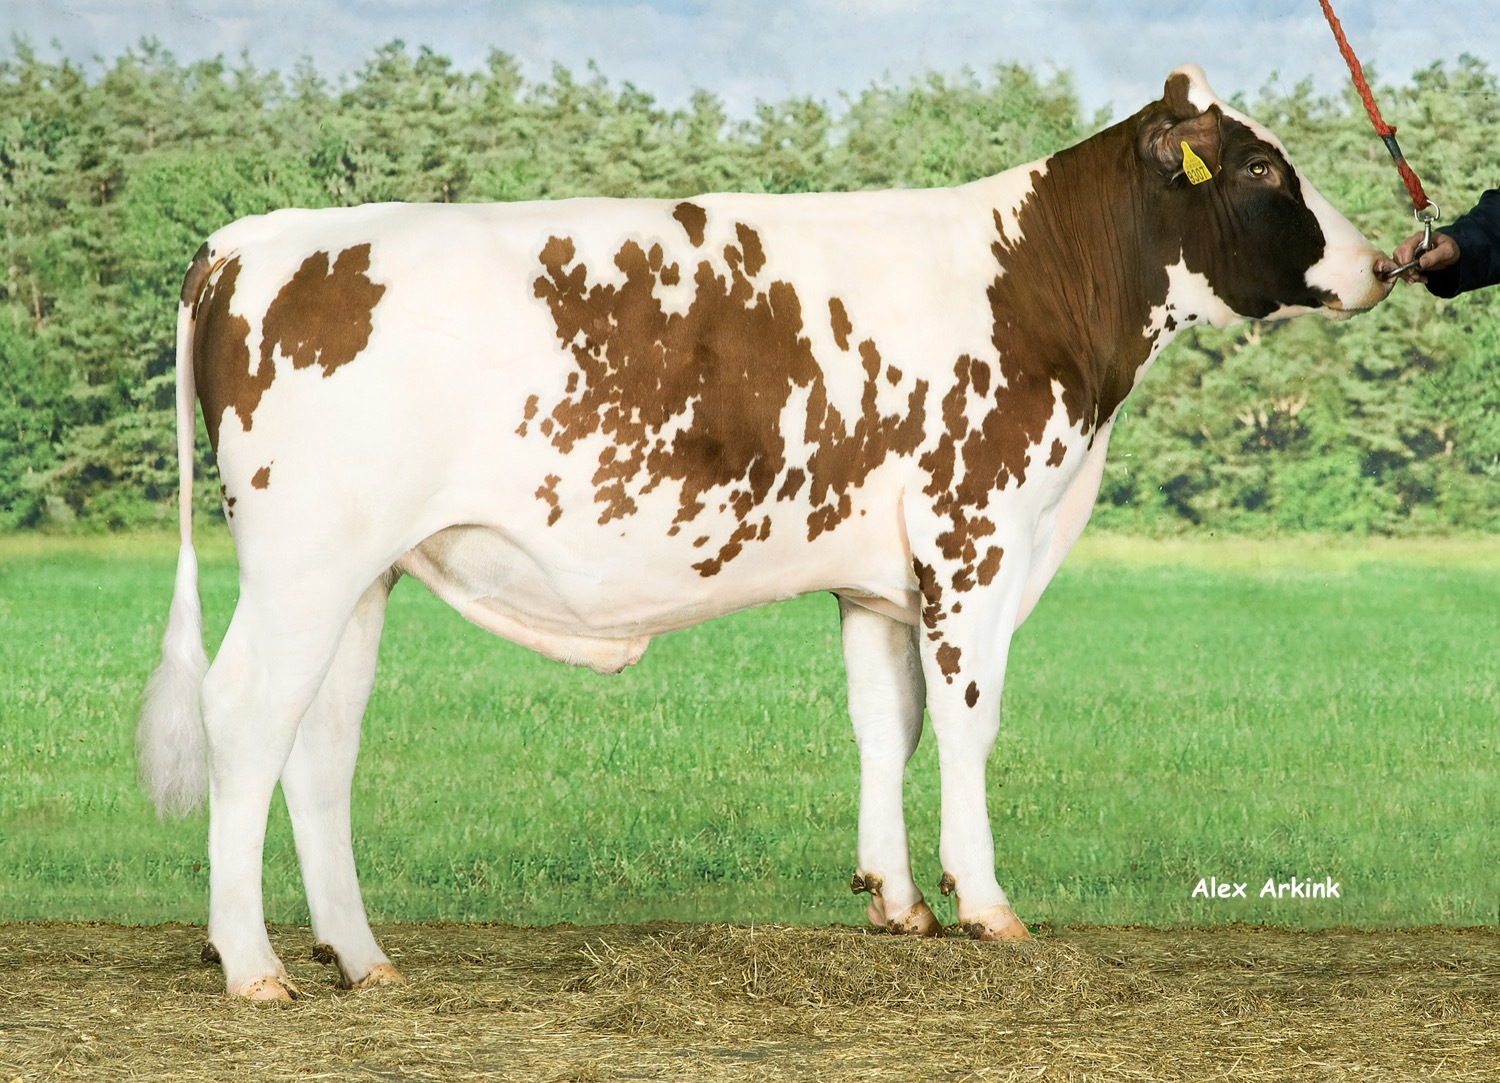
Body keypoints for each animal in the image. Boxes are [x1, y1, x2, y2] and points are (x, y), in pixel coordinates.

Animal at [138, 65, 1395, 999]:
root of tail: (247, 240)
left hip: (363, 571)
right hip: (304, 558)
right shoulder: (976, 536)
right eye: (1261, 166)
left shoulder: (883, 578)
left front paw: (898, 902)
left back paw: (361, 957)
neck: (1038, 284)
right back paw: (250, 965)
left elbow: (886, 725)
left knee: (320, 739)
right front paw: (986, 905)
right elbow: (968, 723)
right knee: (245, 713)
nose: (1383, 262)